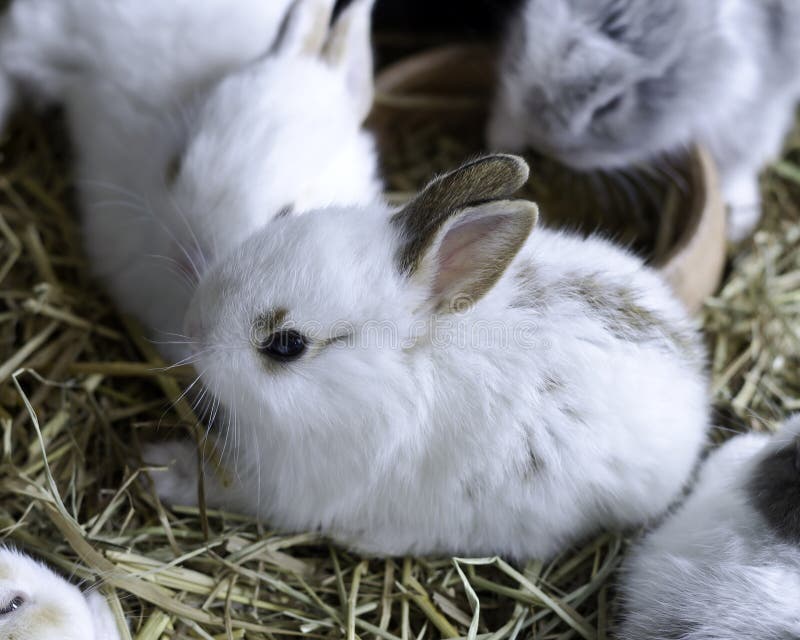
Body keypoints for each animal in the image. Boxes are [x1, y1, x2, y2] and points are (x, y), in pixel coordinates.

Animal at [144, 154, 711, 559]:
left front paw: (156, 467)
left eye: (286, 345)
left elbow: (224, 485)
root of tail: (696, 396)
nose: (193, 330)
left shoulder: (290, 485)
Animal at [488, 0, 800, 241]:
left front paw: (737, 220)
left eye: (610, 104)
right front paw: (502, 134)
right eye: (526, 40)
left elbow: (739, 154)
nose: (542, 140)